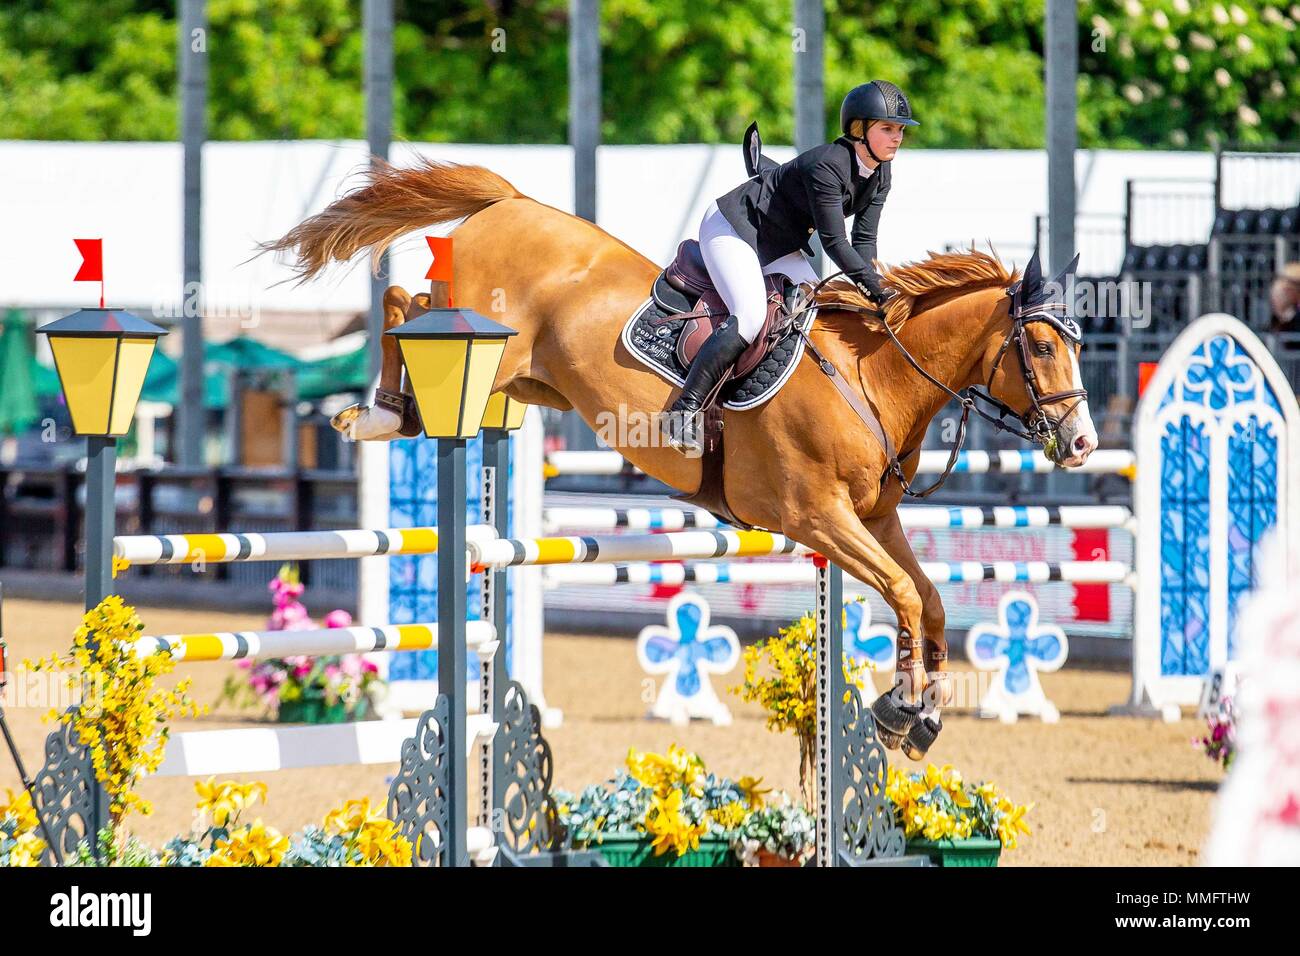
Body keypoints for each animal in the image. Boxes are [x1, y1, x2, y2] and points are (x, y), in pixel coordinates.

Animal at [262, 157, 1098, 757]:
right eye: (1042, 346)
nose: (1084, 443)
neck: (871, 375)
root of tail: (510, 200)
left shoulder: (875, 517)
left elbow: (927, 599)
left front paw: (922, 716)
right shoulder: (816, 518)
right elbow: (899, 591)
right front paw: (899, 710)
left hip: (524, 377)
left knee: (405, 304)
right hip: (480, 336)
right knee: (401, 302)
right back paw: (377, 413)